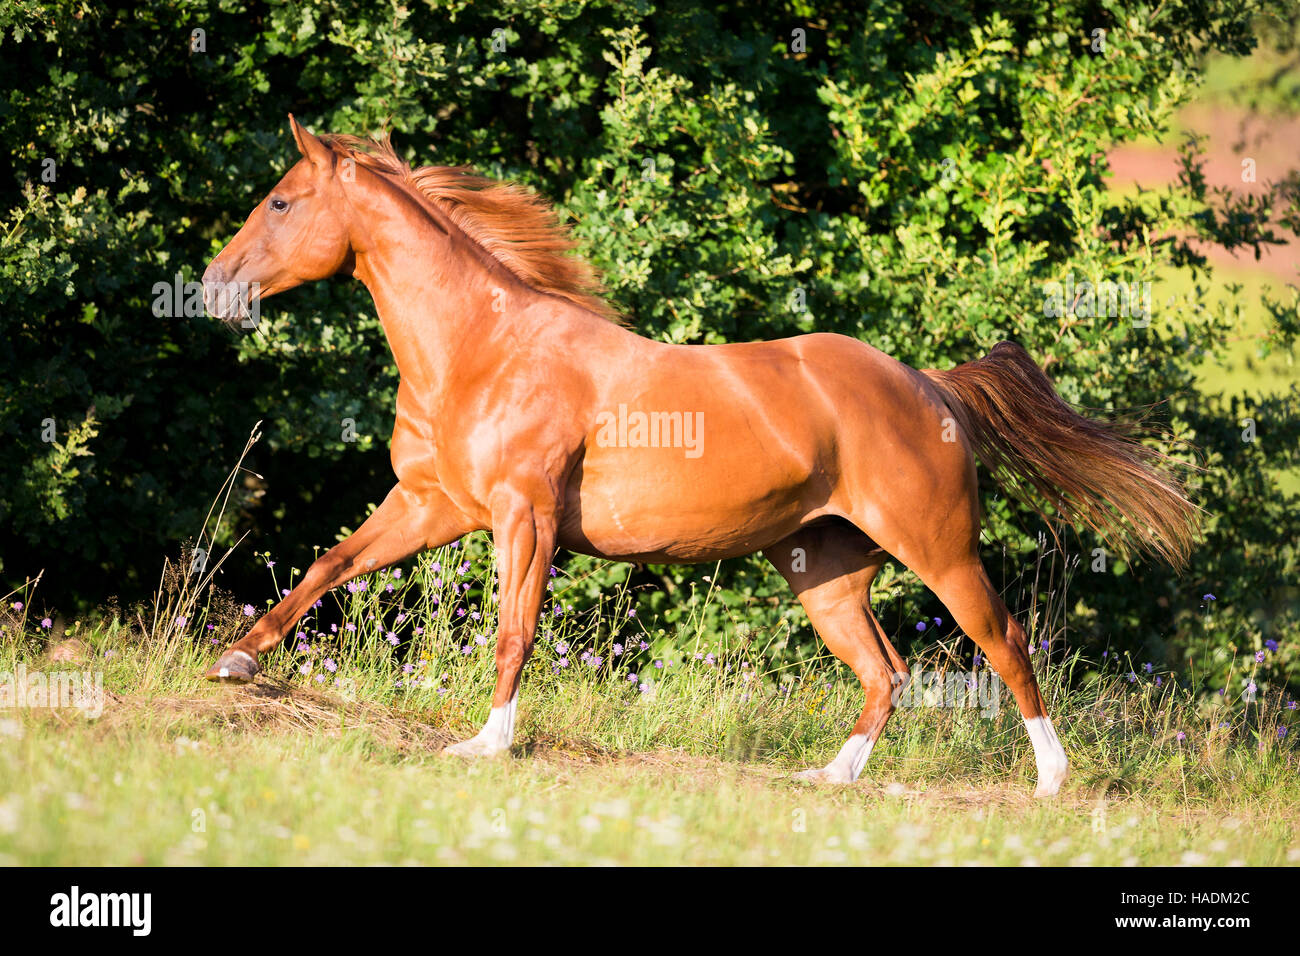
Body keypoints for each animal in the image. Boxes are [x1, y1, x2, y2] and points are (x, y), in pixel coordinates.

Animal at [201, 116, 1198, 796]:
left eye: (282, 200)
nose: (211, 286)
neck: (485, 349)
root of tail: (928, 384)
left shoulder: (524, 517)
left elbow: (515, 629)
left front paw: (486, 744)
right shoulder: (431, 504)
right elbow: (330, 565)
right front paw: (234, 662)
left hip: (940, 549)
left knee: (1006, 642)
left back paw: (1051, 779)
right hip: (824, 571)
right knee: (886, 671)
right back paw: (831, 778)